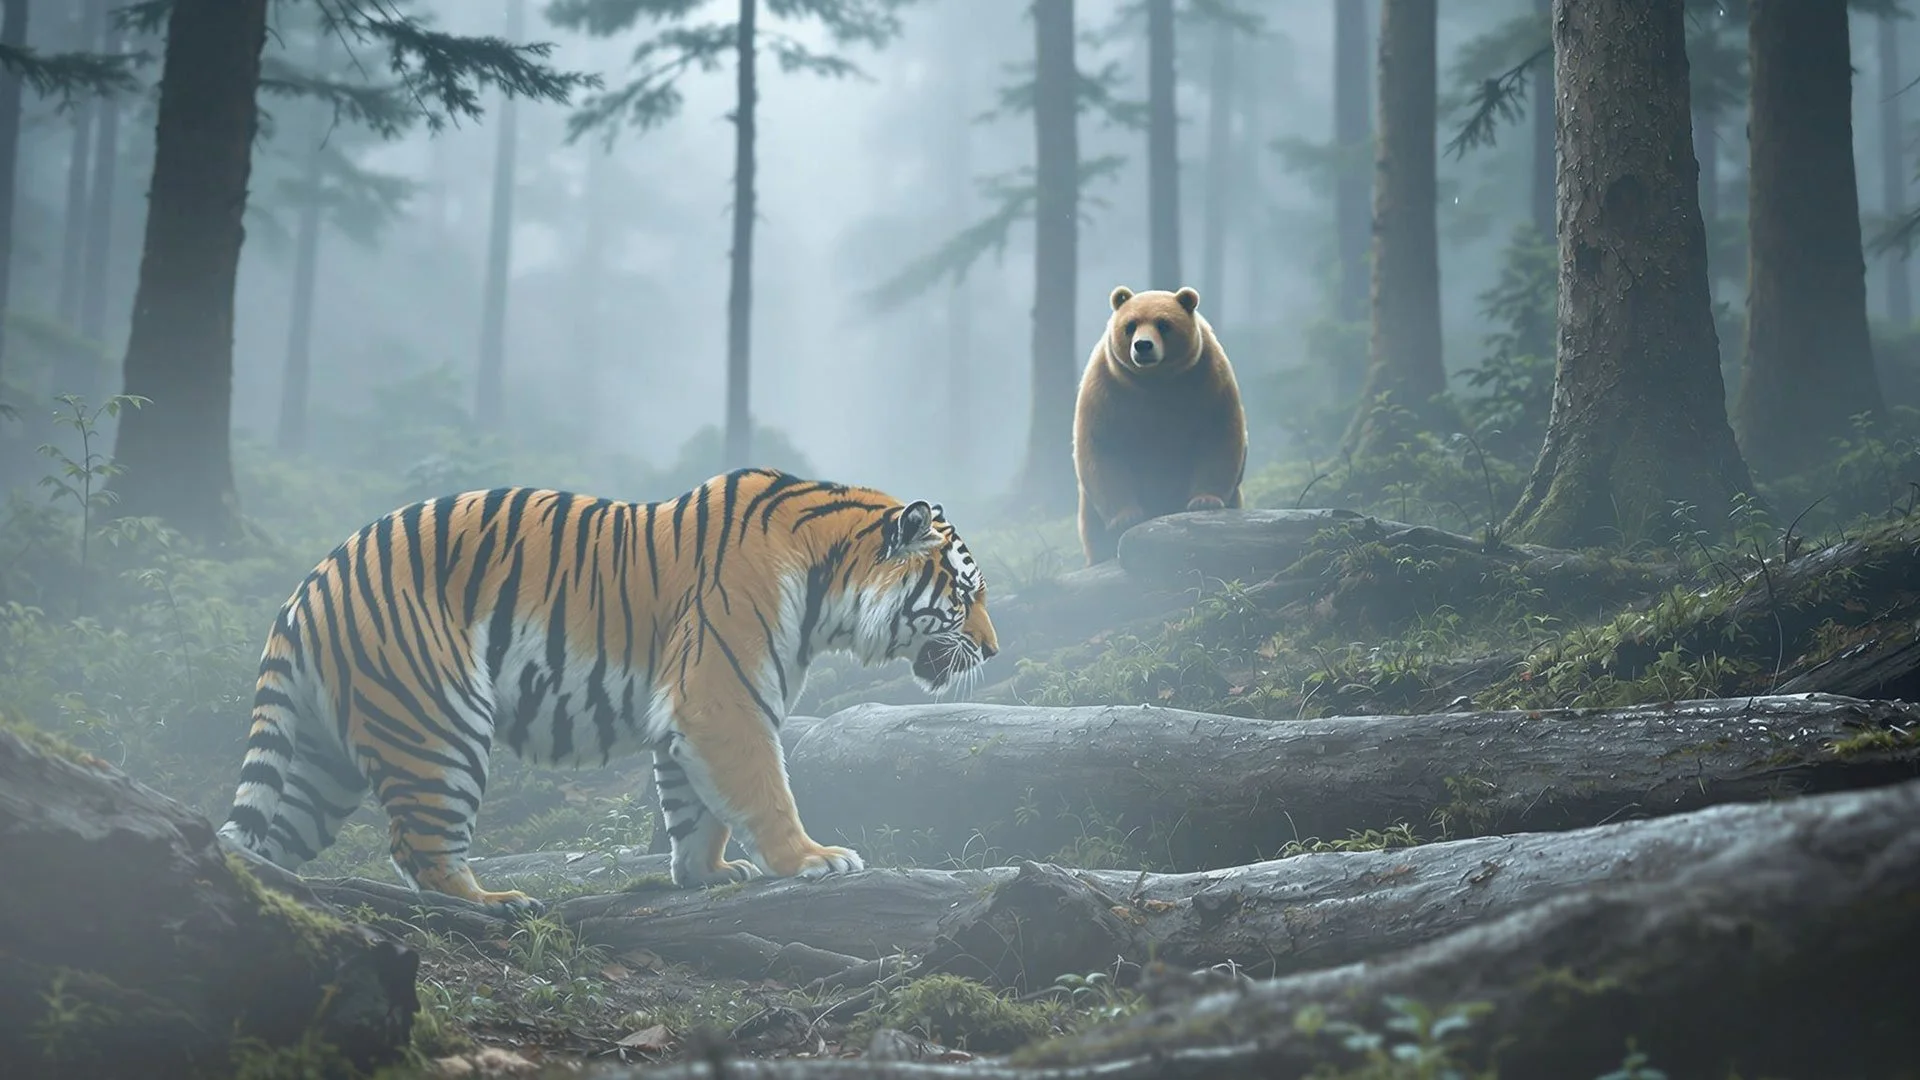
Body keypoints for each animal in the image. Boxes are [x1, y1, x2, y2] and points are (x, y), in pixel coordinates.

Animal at [215, 468, 998, 916]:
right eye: (964, 596)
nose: (992, 650)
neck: (827, 581)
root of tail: (311, 583)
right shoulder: (723, 696)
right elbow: (764, 791)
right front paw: (810, 861)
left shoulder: (690, 710)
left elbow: (695, 811)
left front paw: (707, 873)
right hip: (438, 724)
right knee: (418, 848)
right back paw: (494, 901)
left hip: (322, 758)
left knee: (272, 841)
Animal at [1071, 284, 1247, 567]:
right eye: (1130, 325)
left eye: (1164, 324)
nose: (1143, 345)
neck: (1156, 382)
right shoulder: (1107, 388)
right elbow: (1102, 447)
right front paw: (1126, 516)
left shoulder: (1209, 378)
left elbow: (1219, 435)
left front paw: (1204, 500)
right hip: (1088, 509)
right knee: (1092, 528)